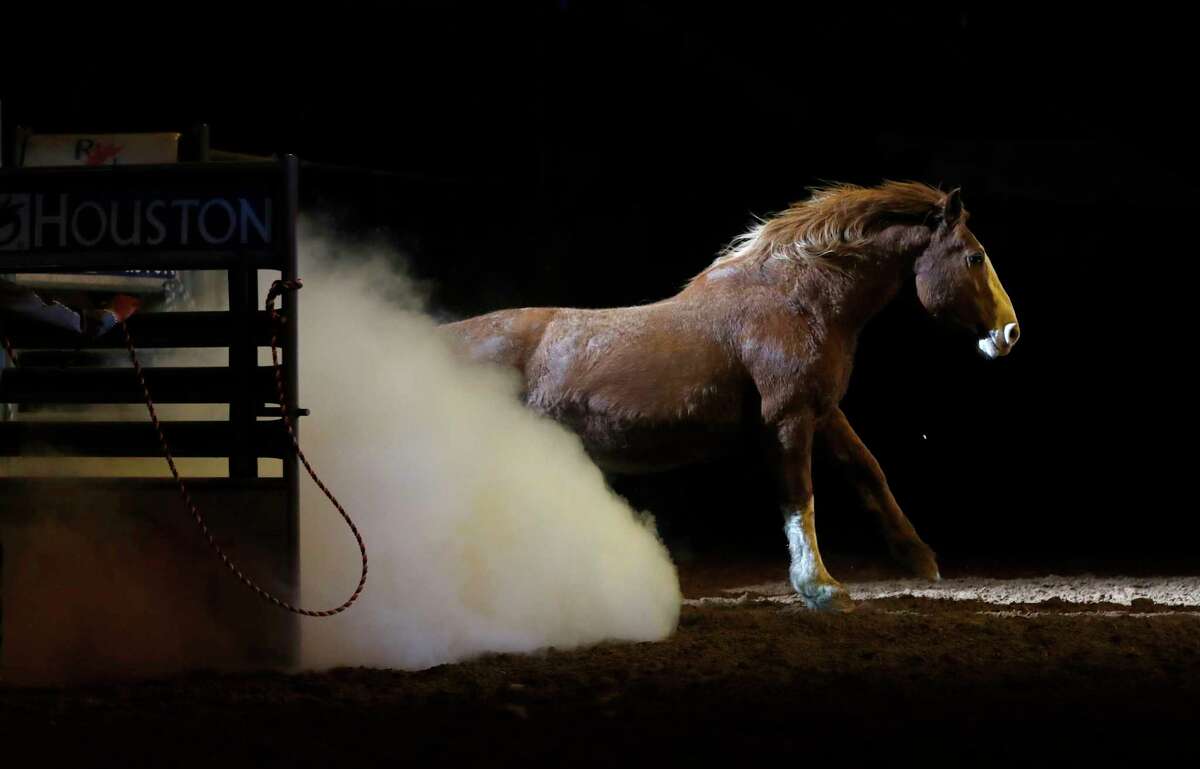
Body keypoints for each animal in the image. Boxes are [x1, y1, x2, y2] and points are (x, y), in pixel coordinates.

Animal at [443, 181, 1019, 611]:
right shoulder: (788, 419)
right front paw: (821, 588)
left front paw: (919, 557)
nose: (1010, 333)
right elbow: (800, 495)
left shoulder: (823, 411)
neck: (794, 302)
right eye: (975, 257)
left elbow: (868, 470)